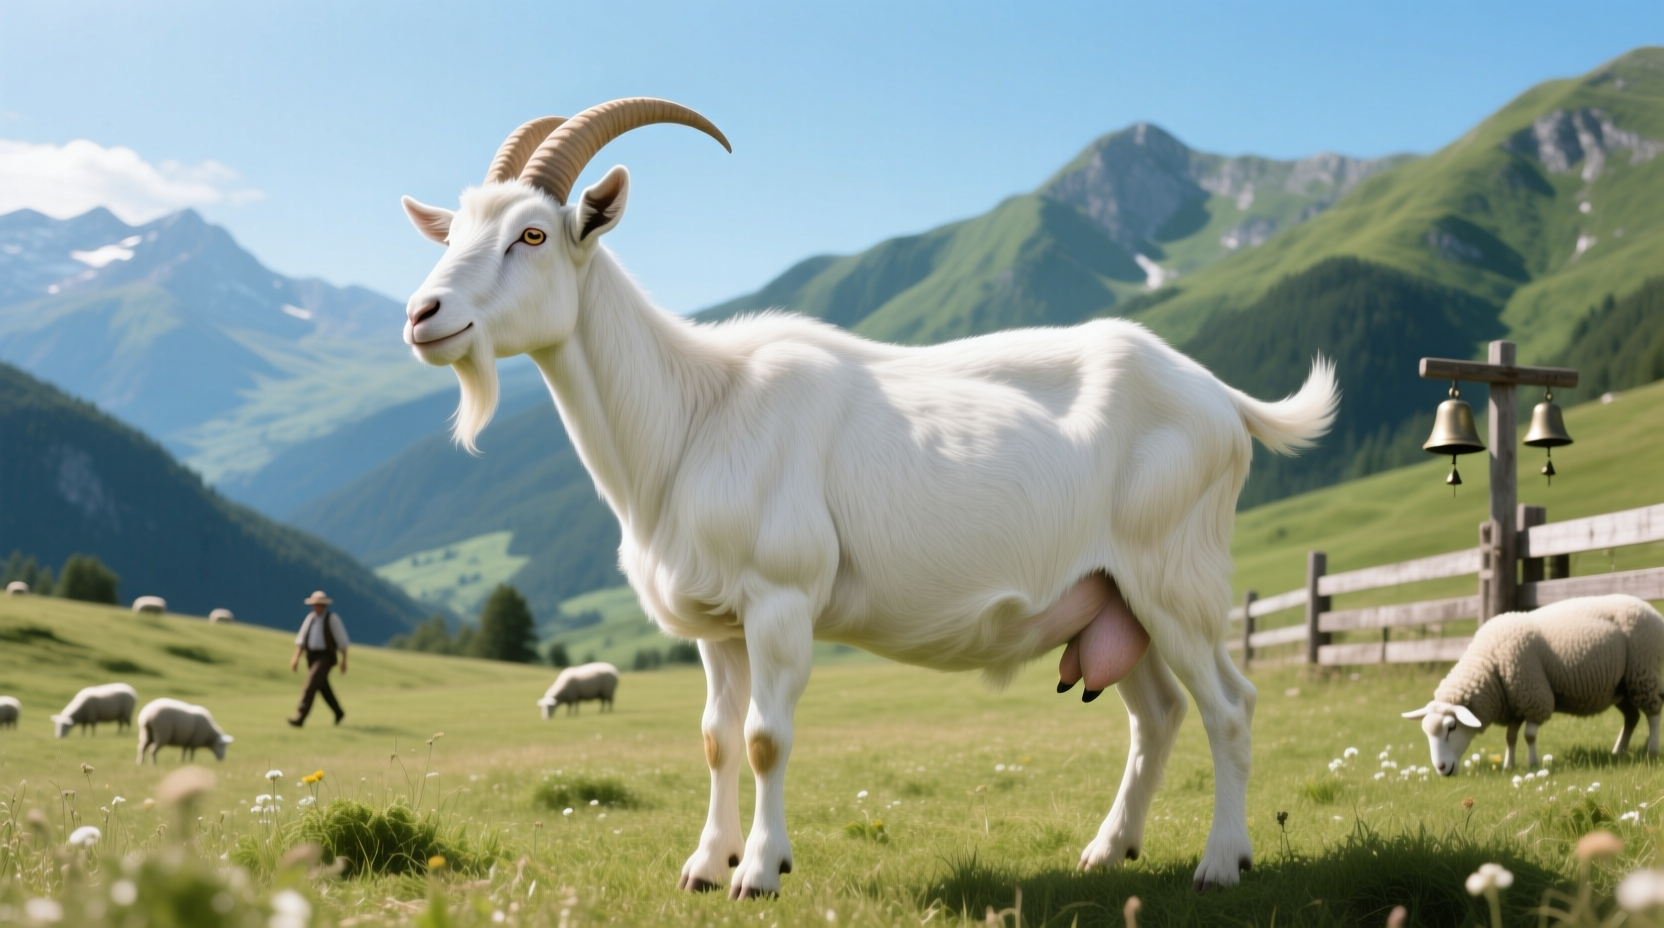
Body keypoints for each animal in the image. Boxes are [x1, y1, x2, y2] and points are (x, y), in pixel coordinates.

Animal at [399, 98, 1338, 897]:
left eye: (531, 233)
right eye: (456, 232)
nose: (423, 313)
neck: (695, 415)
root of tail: (1222, 398)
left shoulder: (779, 597)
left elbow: (764, 738)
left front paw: (758, 873)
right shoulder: (718, 623)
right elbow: (714, 738)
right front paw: (705, 865)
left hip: (1176, 575)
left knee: (1229, 706)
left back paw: (1220, 863)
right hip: (1112, 595)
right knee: (1160, 714)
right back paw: (1109, 850)